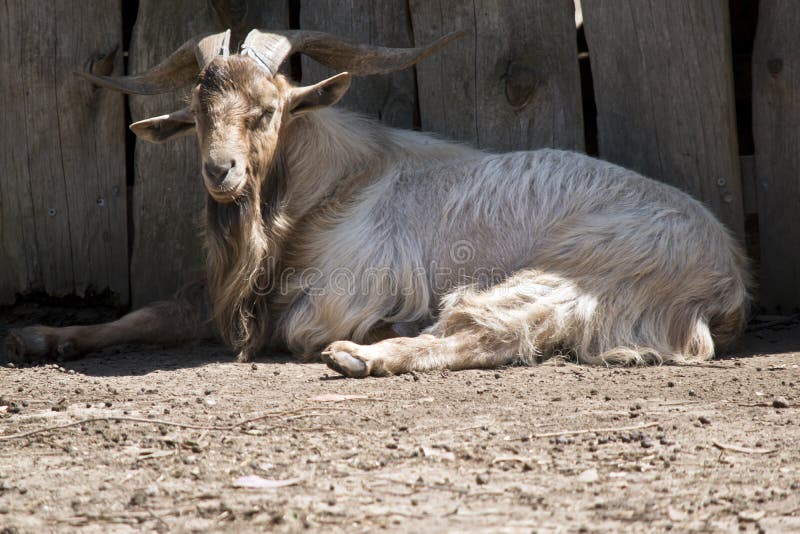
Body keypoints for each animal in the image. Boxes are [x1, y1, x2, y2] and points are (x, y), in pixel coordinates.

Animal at [3, 29, 749, 377]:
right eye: (198, 112)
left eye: (267, 110)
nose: (221, 172)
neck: (329, 187)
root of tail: (729, 275)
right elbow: (154, 312)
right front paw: (41, 337)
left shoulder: (340, 293)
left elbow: (290, 329)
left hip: (571, 277)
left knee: (490, 330)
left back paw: (365, 357)